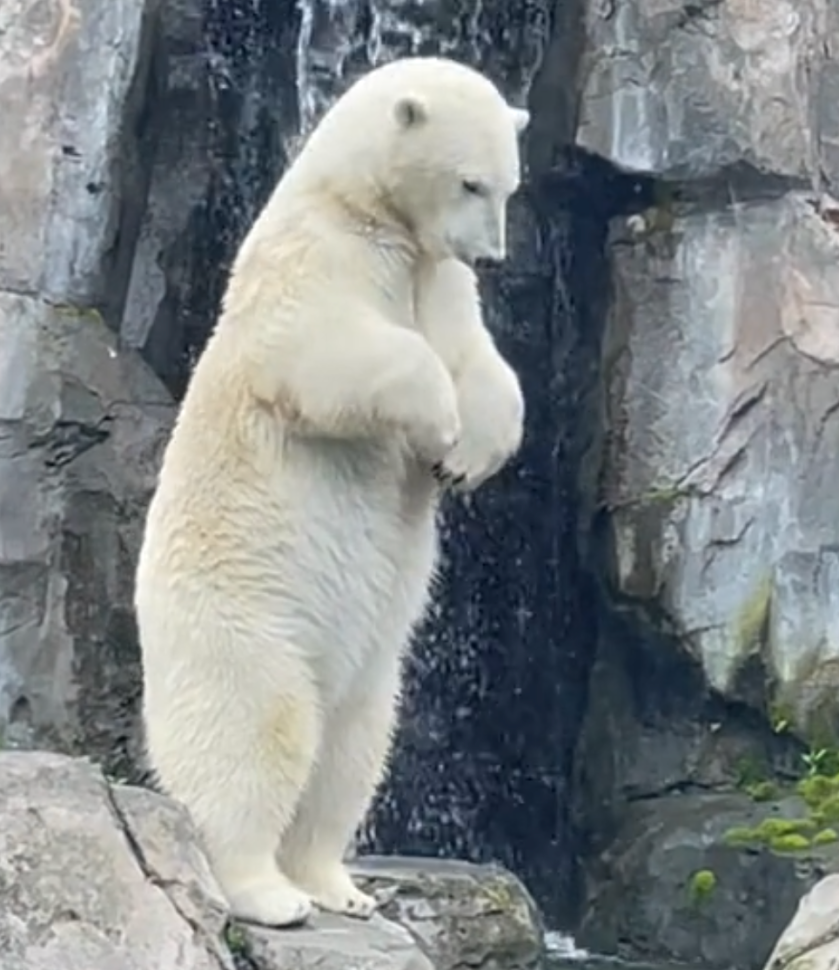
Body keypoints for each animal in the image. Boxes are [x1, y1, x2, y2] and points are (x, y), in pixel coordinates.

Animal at [134, 54, 528, 931]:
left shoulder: (436, 278)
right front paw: (439, 427)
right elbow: (324, 351)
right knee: (257, 734)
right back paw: (268, 893)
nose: (491, 258)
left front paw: (466, 457)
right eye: (470, 182)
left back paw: (337, 886)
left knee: (353, 749)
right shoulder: (314, 258)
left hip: (371, 668)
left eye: (510, 186)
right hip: (242, 620)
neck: (361, 209)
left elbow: (481, 360)